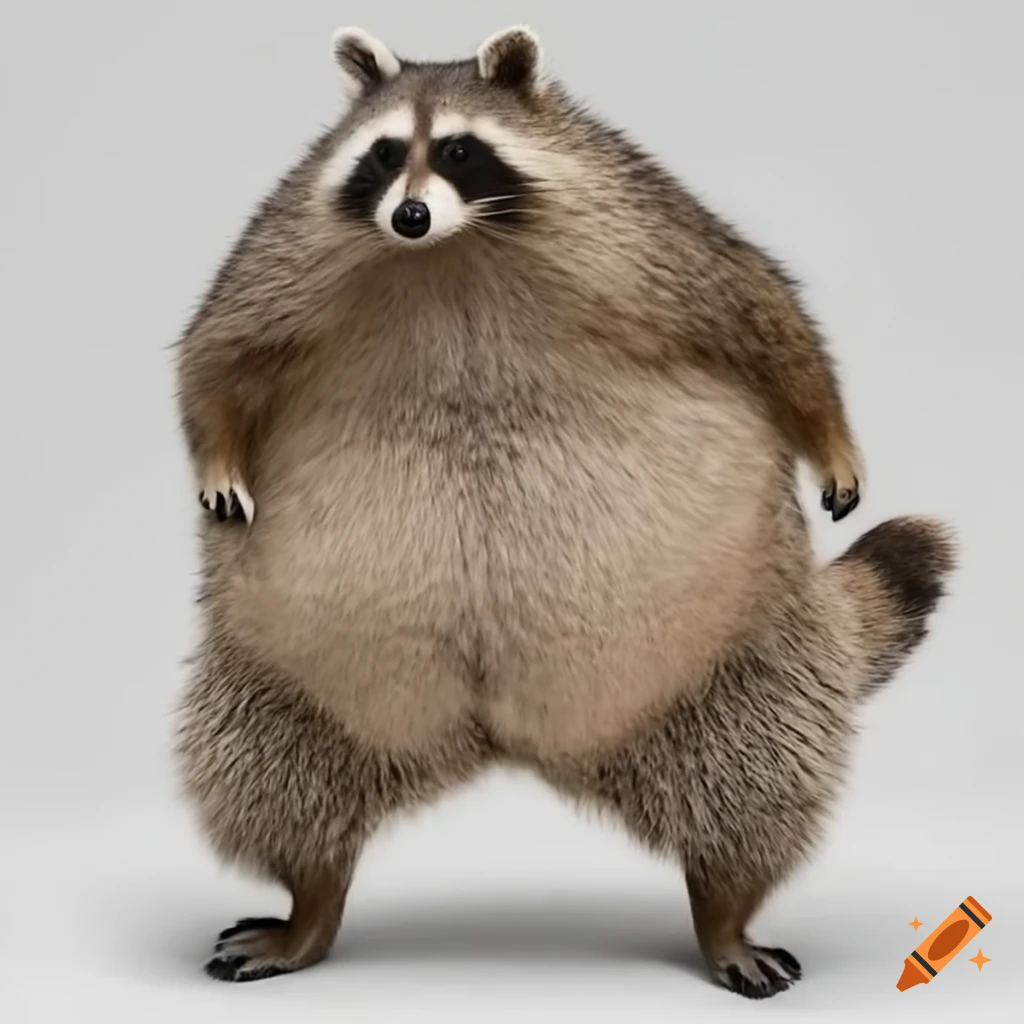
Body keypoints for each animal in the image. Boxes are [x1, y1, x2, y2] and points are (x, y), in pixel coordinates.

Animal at [174, 26, 955, 998]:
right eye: (385, 153)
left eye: (459, 151)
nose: (409, 216)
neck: (454, 249)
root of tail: (497, 736)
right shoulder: (295, 232)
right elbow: (224, 346)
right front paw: (218, 455)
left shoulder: (636, 220)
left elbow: (758, 309)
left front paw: (832, 435)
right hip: (293, 677)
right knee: (271, 783)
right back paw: (308, 901)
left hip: (730, 667)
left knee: (756, 784)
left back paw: (725, 909)